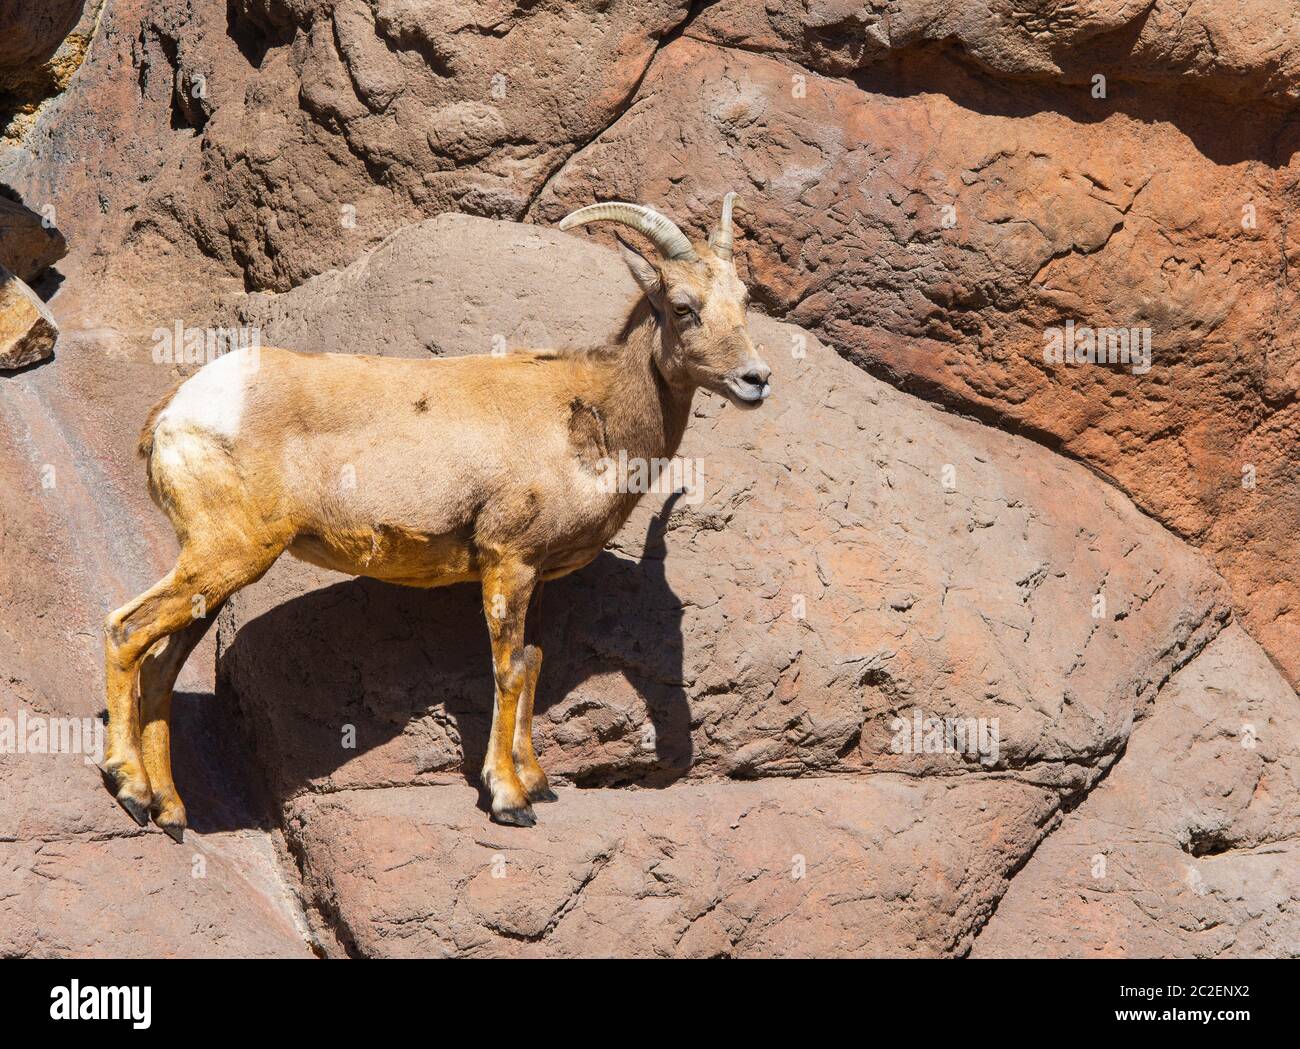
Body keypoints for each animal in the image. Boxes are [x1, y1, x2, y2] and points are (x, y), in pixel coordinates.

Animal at [103, 196, 772, 838]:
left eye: (743, 301)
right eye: (682, 307)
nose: (756, 380)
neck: (592, 414)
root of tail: (173, 414)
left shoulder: (534, 575)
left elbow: (532, 663)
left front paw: (538, 784)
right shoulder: (508, 560)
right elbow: (507, 671)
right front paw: (509, 801)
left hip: (216, 571)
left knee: (160, 665)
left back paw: (171, 813)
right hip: (227, 554)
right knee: (126, 629)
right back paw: (130, 791)